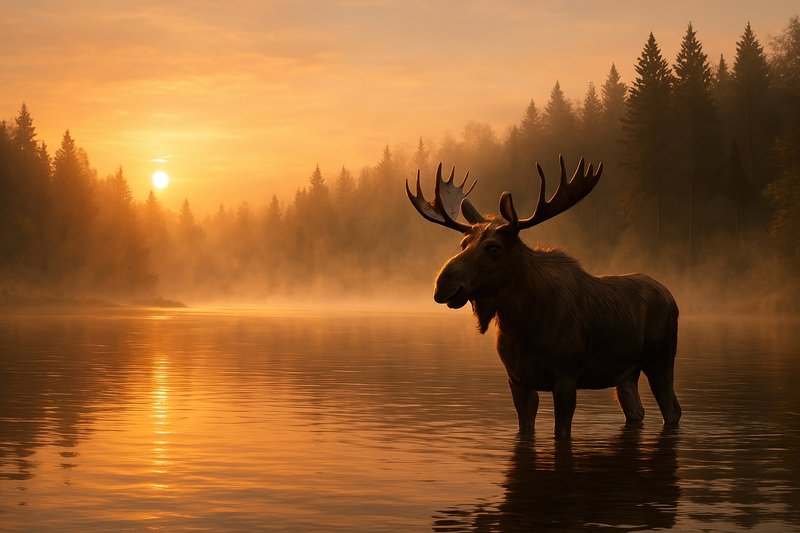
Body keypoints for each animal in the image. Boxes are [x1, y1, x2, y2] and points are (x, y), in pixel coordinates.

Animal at [406, 157, 681, 439]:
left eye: (493, 248)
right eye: (463, 244)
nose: (442, 284)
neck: (522, 325)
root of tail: (670, 296)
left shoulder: (566, 377)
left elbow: (561, 431)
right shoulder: (518, 380)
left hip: (660, 360)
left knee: (672, 409)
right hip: (625, 372)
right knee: (636, 411)